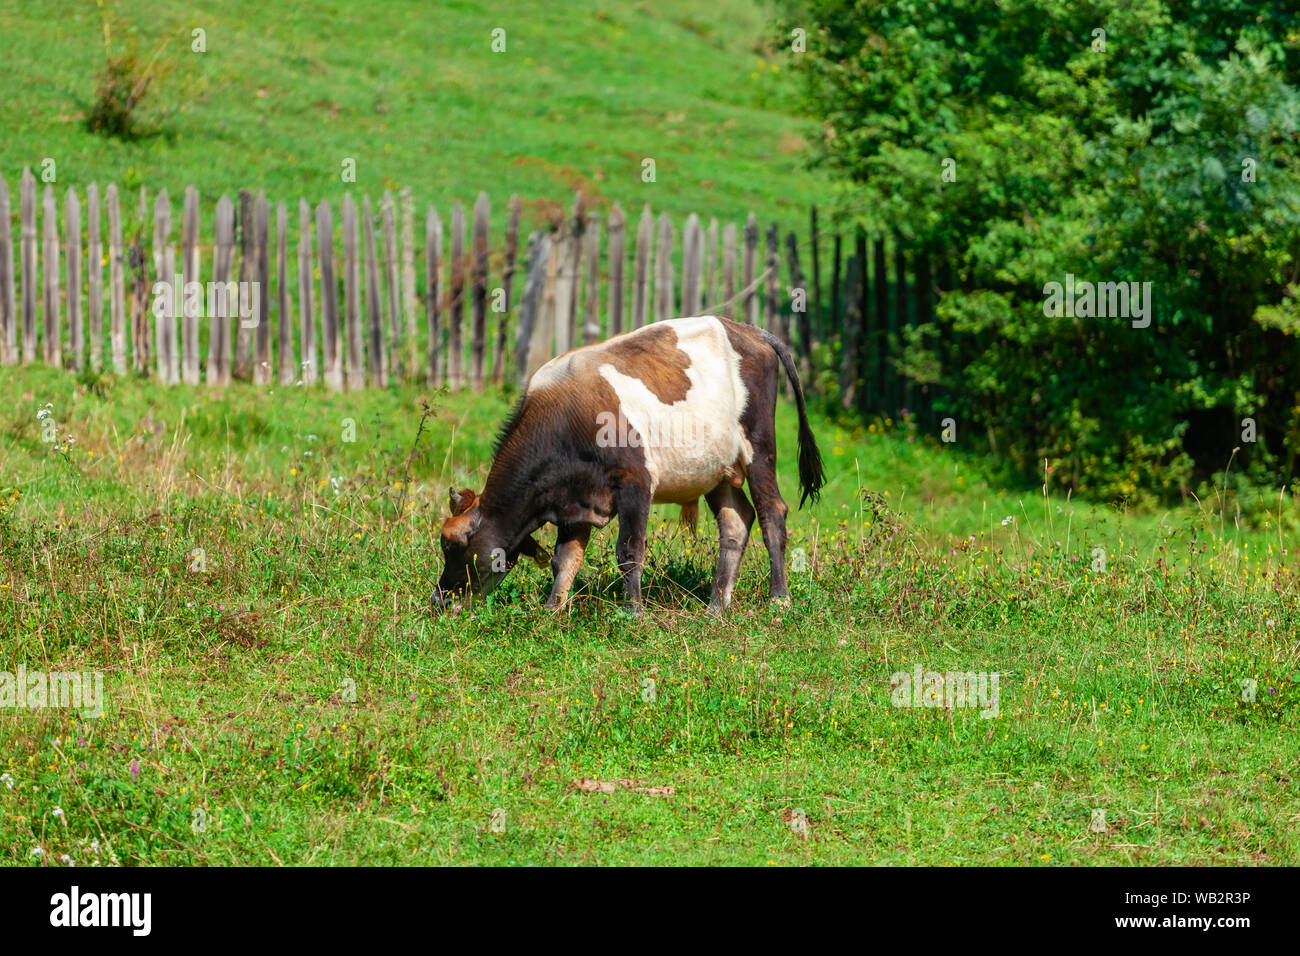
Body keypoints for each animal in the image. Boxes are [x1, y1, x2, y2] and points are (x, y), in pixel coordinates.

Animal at [430, 314, 824, 614]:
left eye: (450, 545)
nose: (439, 599)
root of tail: (750, 330)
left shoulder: (635, 482)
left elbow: (630, 551)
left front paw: (631, 612)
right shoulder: (574, 501)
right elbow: (565, 558)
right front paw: (553, 609)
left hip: (760, 449)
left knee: (772, 514)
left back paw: (778, 600)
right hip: (718, 472)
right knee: (736, 522)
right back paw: (716, 606)